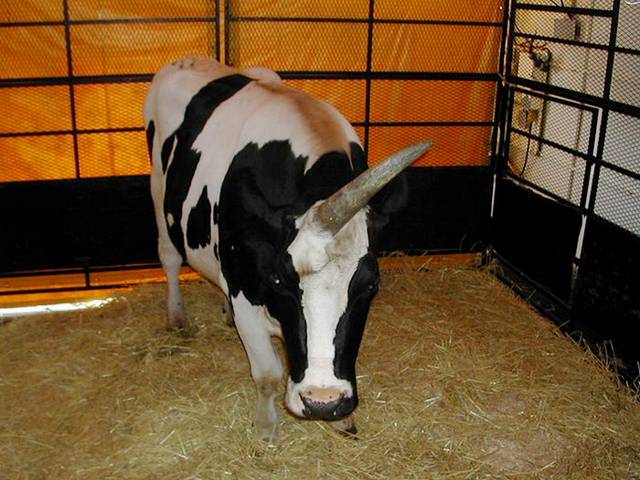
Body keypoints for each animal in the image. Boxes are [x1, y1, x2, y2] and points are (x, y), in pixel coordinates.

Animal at [144, 56, 431, 443]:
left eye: (371, 285)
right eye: (279, 282)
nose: (322, 401)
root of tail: (186, 60)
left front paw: (341, 419)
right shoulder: (246, 296)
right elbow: (267, 374)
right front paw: (266, 427)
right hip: (159, 191)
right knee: (170, 257)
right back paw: (177, 316)